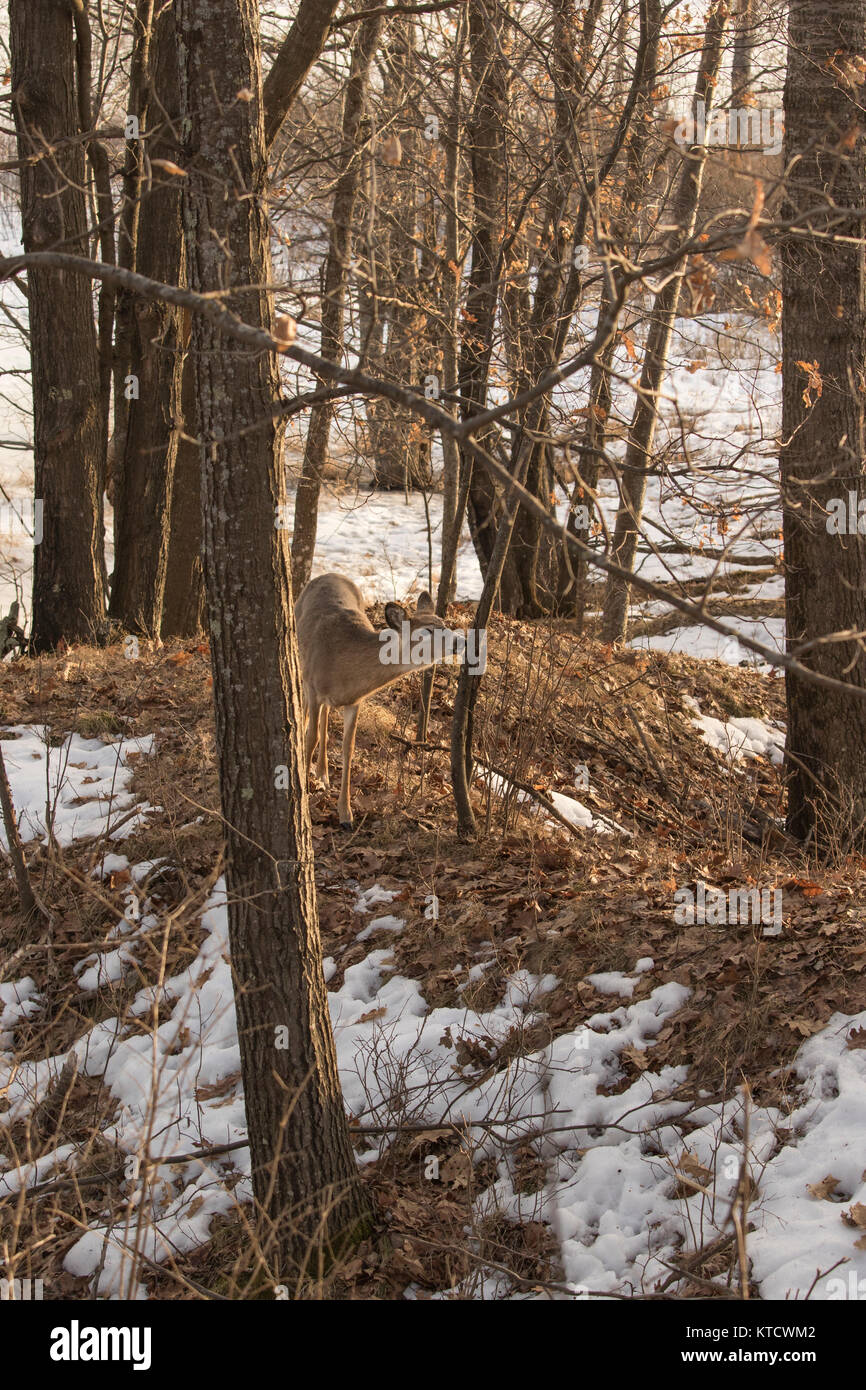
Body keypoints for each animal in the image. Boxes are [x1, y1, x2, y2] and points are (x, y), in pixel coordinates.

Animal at [294, 572, 454, 829]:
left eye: (444, 623)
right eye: (427, 631)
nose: (462, 641)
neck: (342, 663)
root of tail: (329, 574)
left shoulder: (355, 701)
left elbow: (348, 749)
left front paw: (346, 814)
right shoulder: (313, 685)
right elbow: (311, 737)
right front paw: (306, 796)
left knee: (325, 718)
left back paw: (323, 775)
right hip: (302, 664)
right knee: (308, 715)